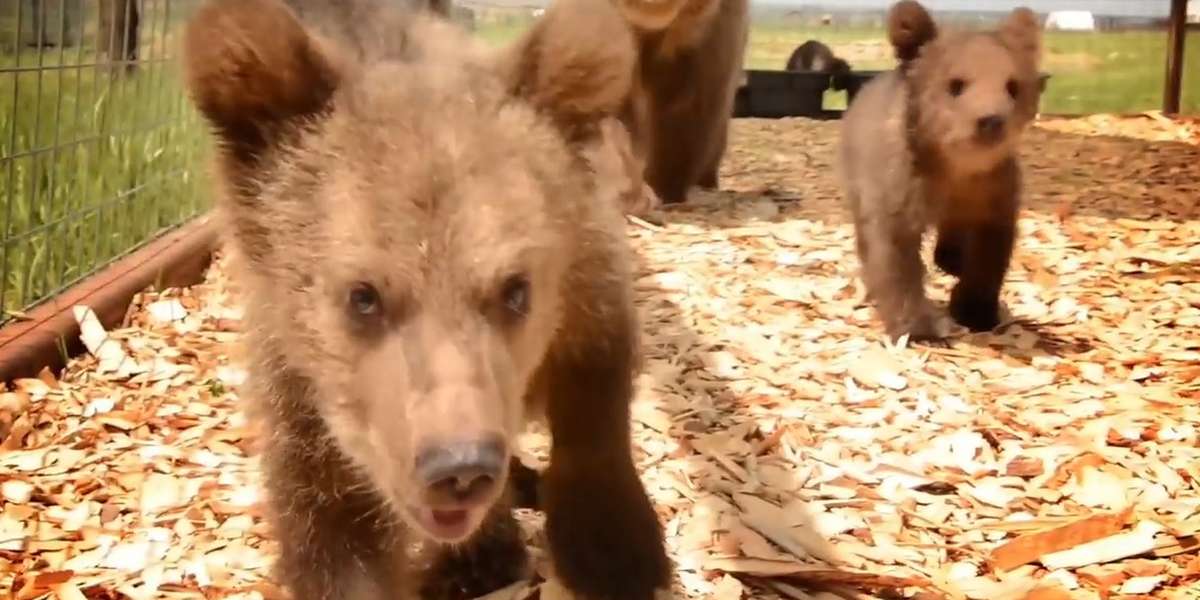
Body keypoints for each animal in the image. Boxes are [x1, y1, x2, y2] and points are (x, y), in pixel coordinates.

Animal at [181, 1, 671, 599]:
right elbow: (334, 529)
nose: (460, 467)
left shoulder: (585, 284)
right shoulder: (310, 390)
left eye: (516, 288)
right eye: (363, 296)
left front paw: (614, 553)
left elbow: (596, 394)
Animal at [839, 0, 1042, 342]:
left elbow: (988, 260)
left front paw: (976, 312)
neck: (954, 171)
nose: (991, 121)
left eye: (1013, 86)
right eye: (955, 84)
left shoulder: (993, 197)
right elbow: (897, 260)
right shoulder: (896, 194)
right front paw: (918, 327)